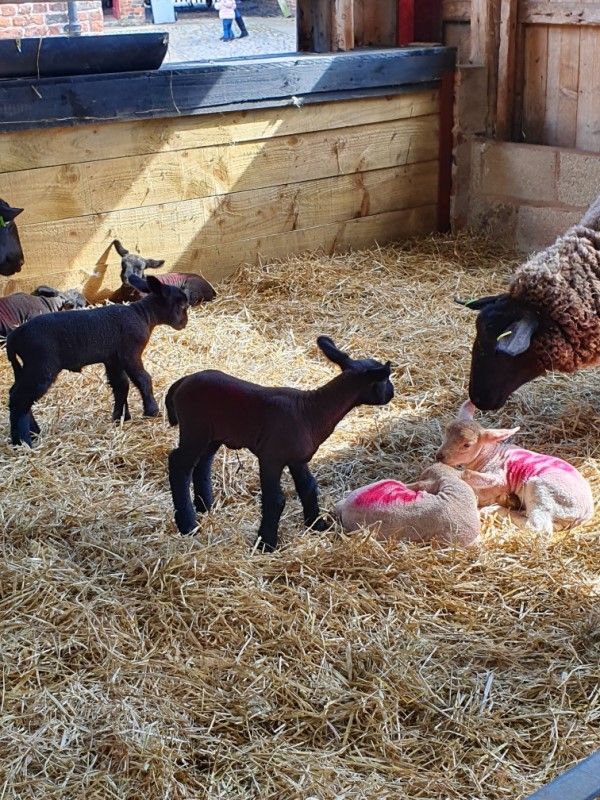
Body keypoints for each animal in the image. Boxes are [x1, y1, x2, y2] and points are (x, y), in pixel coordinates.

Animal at [6, 274, 189, 447]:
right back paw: (22, 442)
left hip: (26, 367)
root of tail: (14, 337)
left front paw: (121, 417)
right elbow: (143, 378)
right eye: (181, 305)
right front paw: (152, 410)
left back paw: (33, 433)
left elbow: (121, 385)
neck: (143, 315)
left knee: (17, 394)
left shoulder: (113, 359)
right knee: (19, 399)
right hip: (42, 366)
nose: (184, 323)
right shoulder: (130, 353)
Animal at [165, 336, 394, 552]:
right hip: (195, 429)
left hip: (212, 434)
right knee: (179, 464)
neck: (312, 410)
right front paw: (266, 544)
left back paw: (205, 507)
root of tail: (181, 383)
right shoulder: (271, 457)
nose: (392, 392)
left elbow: (308, 487)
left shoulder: (297, 458)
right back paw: (188, 524)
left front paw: (317, 525)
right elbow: (275, 499)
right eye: (386, 380)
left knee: (202, 463)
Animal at [435, 400, 594, 534]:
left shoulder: (500, 476)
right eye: (446, 431)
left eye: (467, 445)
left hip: (543, 492)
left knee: (539, 528)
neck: (487, 455)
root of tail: (584, 513)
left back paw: (496, 509)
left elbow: (481, 479)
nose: (439, 456)